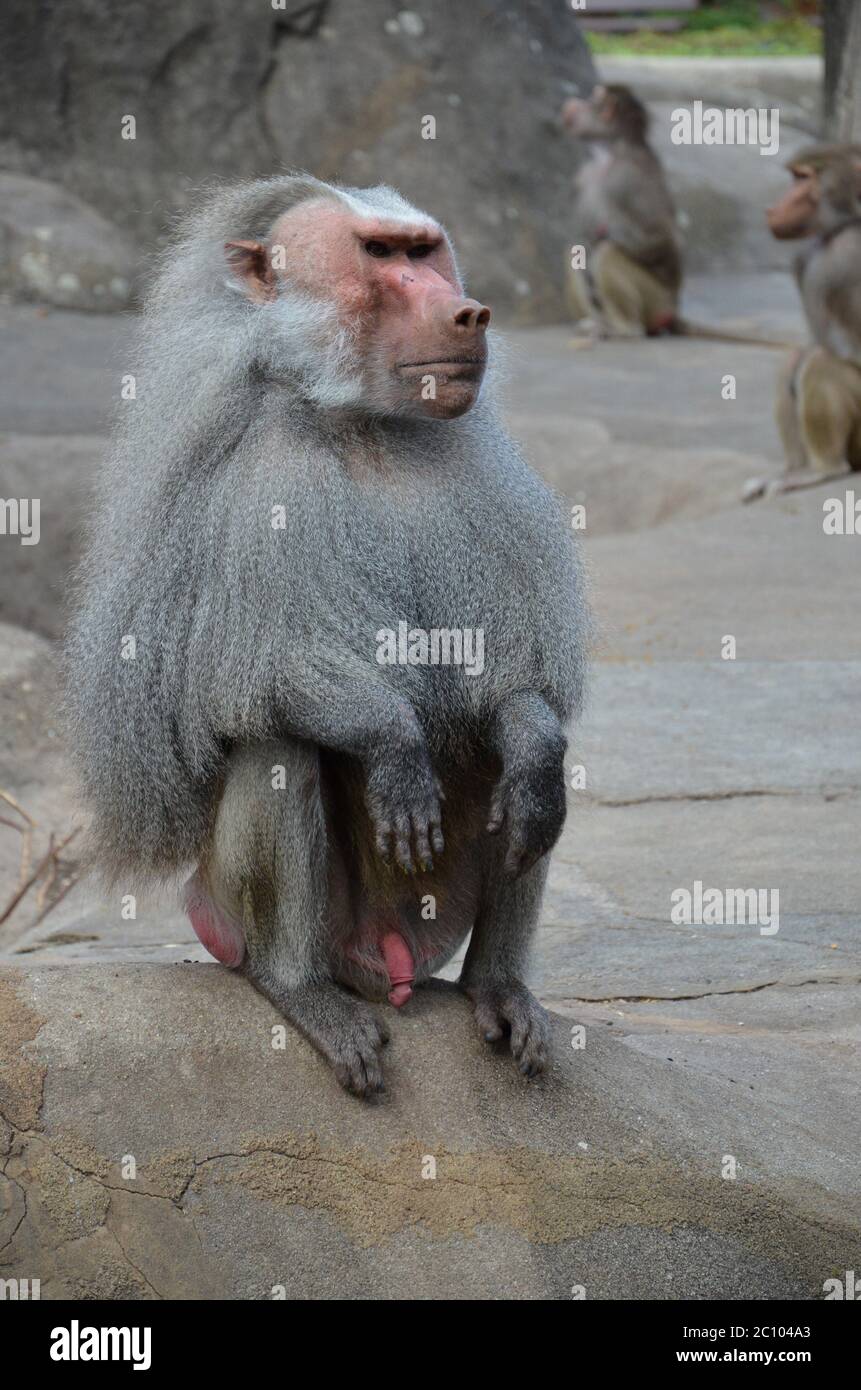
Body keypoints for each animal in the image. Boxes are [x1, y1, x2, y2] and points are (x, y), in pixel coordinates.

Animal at [65, 175, 590, 1099]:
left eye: (423, 250)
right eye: (378, 255)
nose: (468, 313)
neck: (362, 425)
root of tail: (381, 961)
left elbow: (512, 695)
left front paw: (531, 740)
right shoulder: (265, 478)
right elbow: (247, 681)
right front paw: (393, 748)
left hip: (431, 910)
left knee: (524, 788)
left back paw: (496, 986)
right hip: (248, 911)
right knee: (280, 749)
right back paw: (300, 991)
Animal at [744, 144, 861, 500]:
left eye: (802, 178)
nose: (772, 209)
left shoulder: (831, 263)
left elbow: (831, 344)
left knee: (819, 361)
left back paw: (823, 469)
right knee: (795, 359)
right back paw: (793, 470)